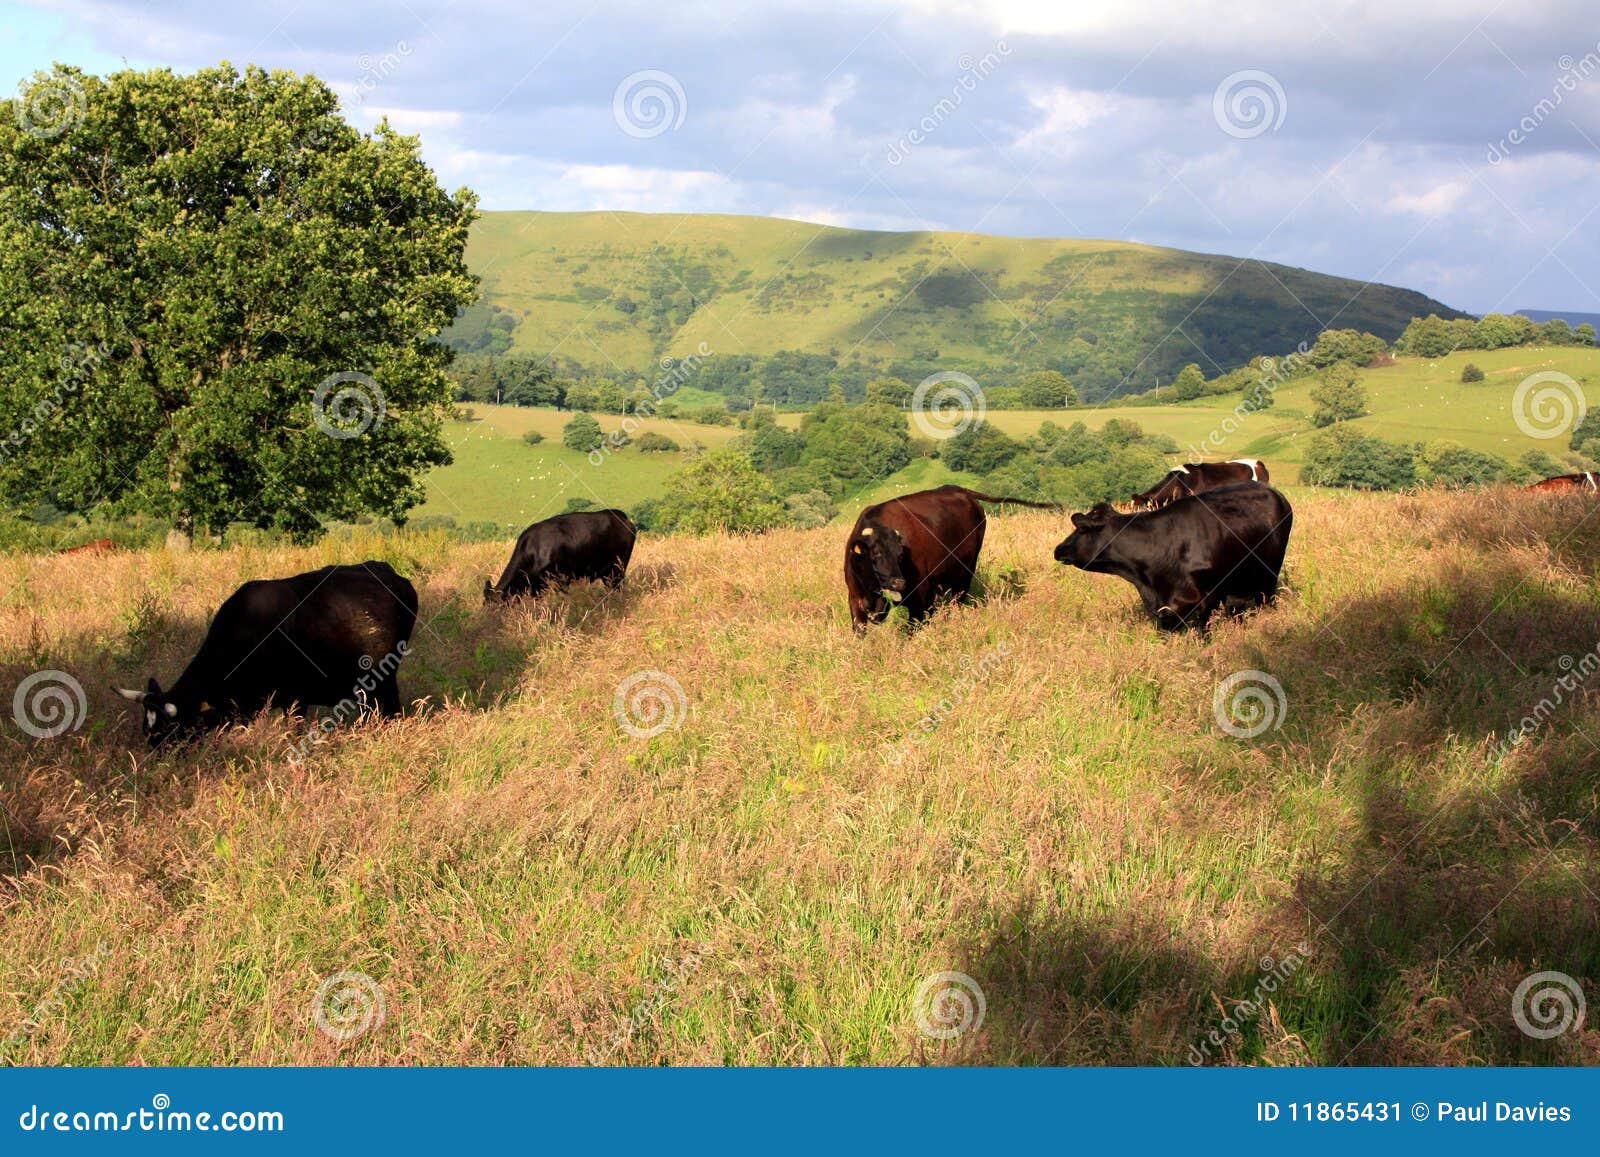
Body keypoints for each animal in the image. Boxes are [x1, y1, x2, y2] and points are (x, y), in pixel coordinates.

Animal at [845, 485, 1057, 631]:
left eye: (900, 555)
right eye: (876, 553)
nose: (899, 582)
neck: (872, 591)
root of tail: (956, 489)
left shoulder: (921, 596)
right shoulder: (855, 598)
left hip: (966, 569)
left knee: (959, 597)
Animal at [1055, 482, 1292, 632]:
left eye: (1081, 530)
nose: (1058, 549)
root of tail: (1274, 492)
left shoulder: (1208, 596)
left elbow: (1202, 632)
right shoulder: (1164, 609)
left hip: (1269, 577)